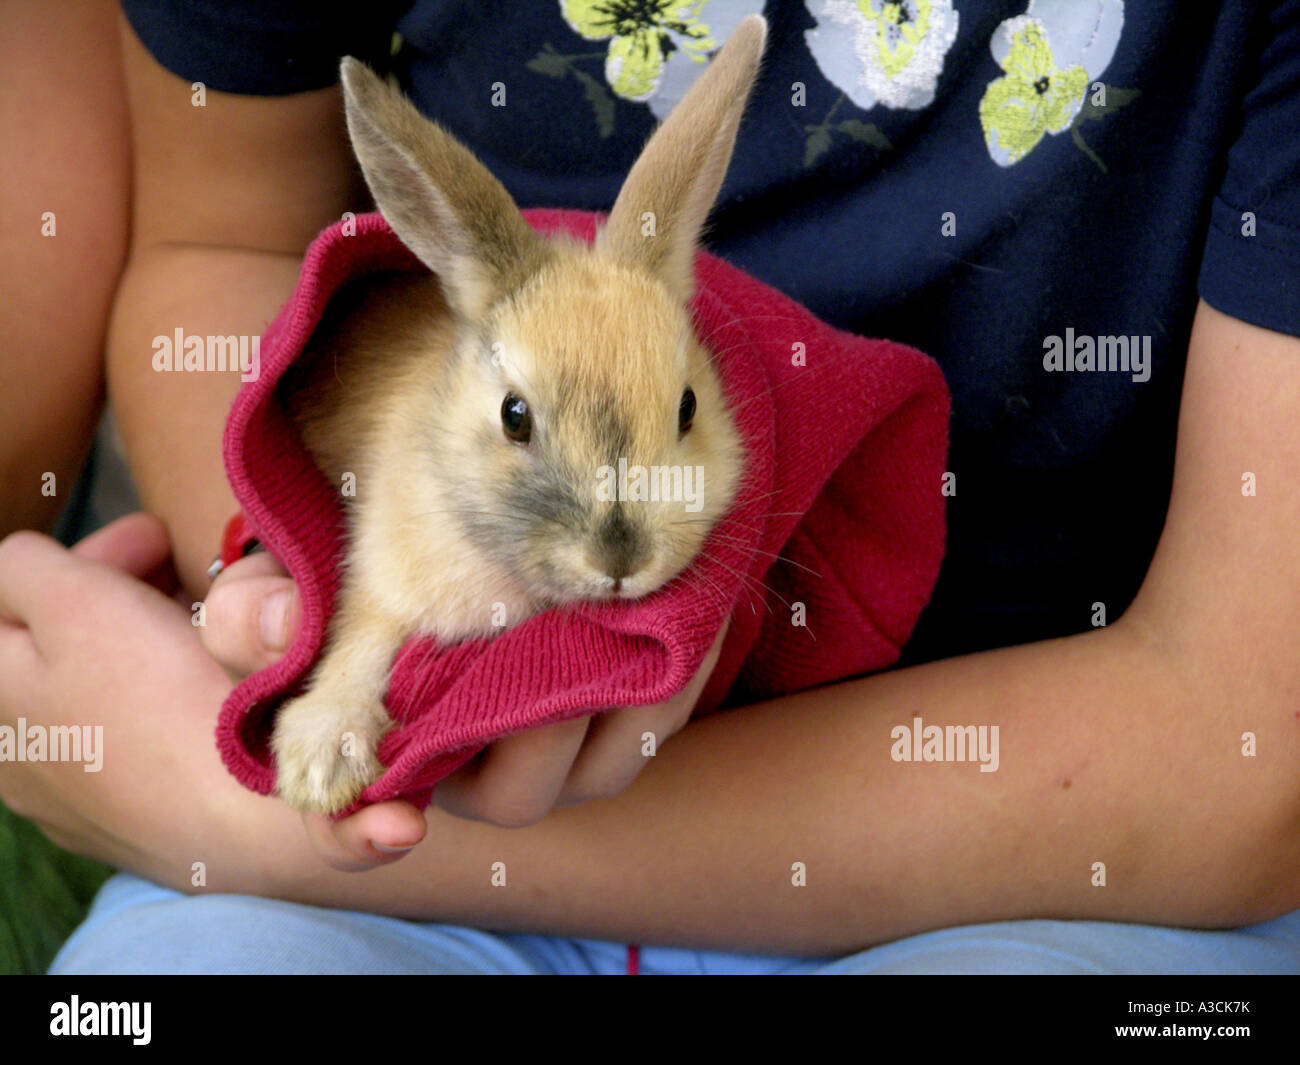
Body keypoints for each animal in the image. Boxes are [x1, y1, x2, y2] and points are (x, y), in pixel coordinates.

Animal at [270, 15, 767, 815]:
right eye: (513, 416)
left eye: (688, 407)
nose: (620, 562)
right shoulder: (378, 573)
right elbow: (361, 638)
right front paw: (320, 764)